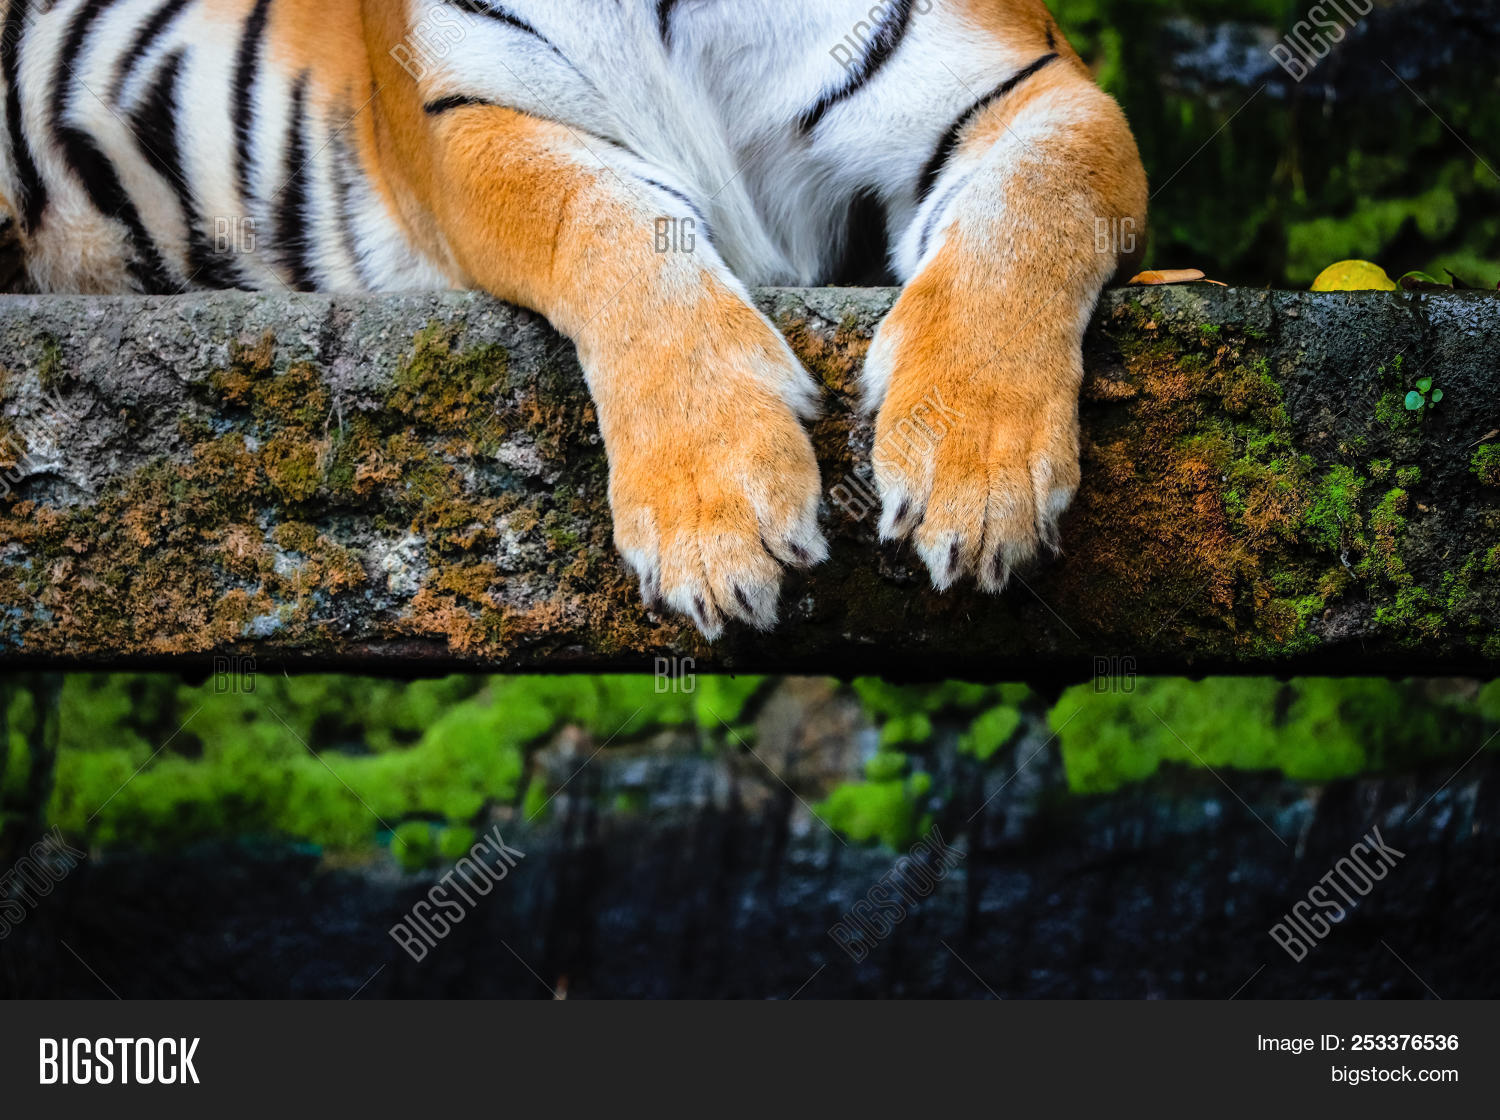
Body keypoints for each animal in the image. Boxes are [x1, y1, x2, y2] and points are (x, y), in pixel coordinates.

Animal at [0, 0, 1147, 638]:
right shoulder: (466, 108)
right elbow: (607, 216)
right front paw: (712, 508)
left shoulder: (1035, 81)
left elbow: (1031, 206)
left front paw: (977, 468)